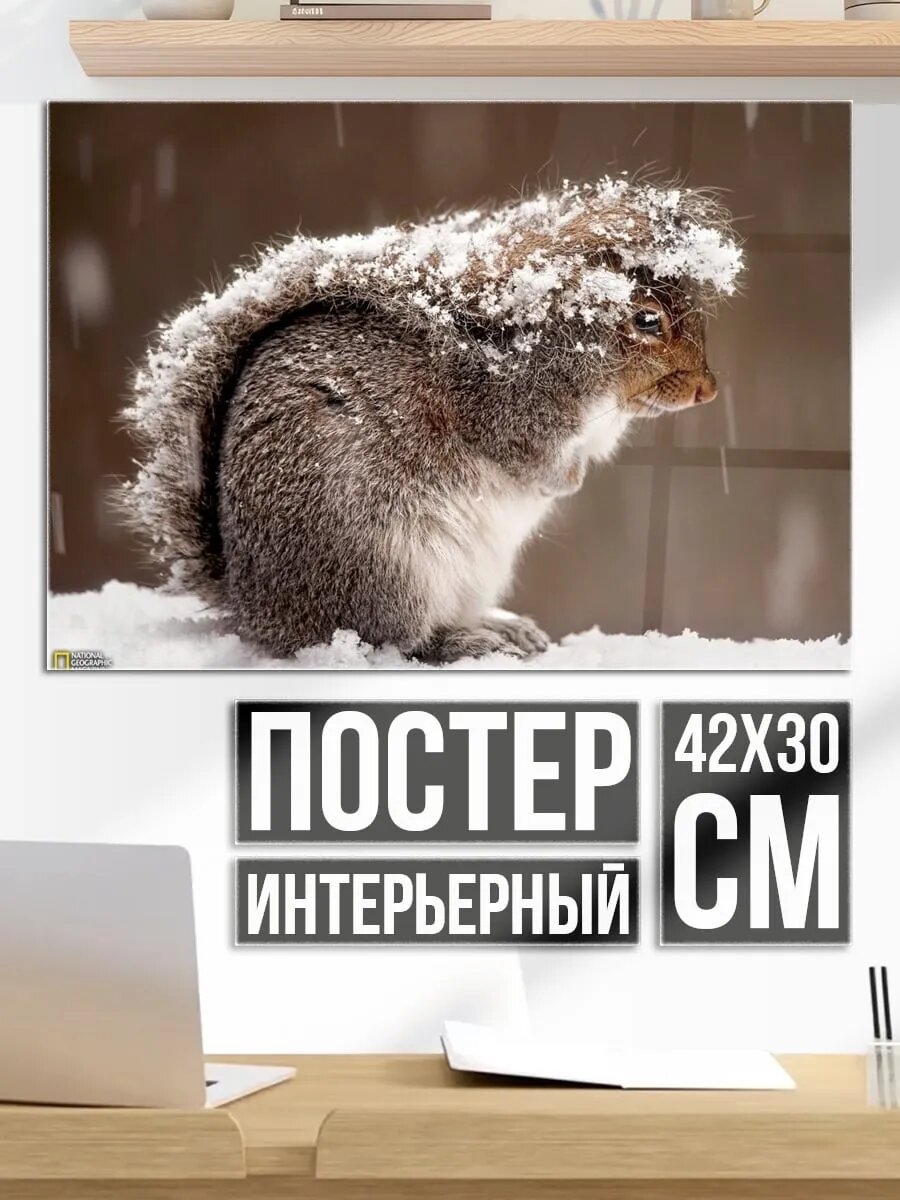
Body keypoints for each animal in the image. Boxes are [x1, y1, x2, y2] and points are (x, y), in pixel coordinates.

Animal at [121, 178, 742, 662]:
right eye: (647, 320)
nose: (708, 390)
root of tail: (259, 612)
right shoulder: (505, 410)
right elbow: (527, 457)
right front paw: (563, 482)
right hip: (384, 566)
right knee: (397, 639)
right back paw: (465, 642)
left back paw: (499, 625)